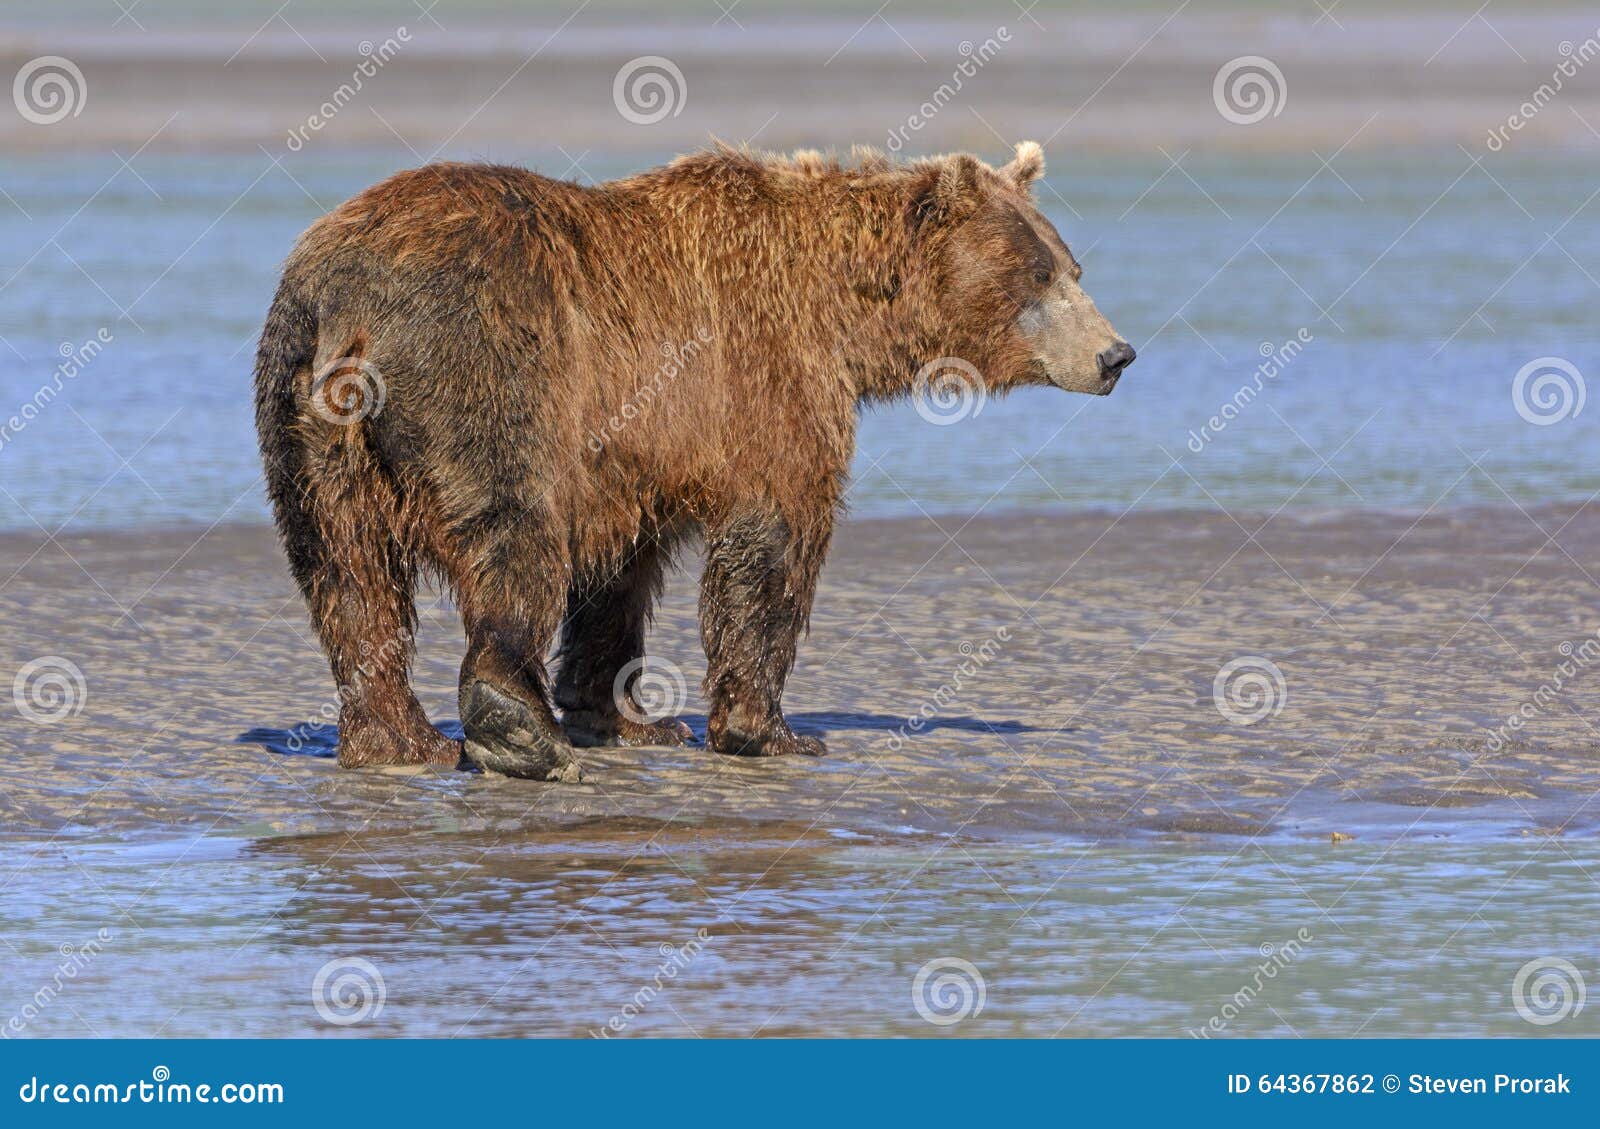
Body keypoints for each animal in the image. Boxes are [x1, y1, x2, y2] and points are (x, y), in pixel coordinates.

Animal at [253, 140, 1134, 782]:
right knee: (512, 533)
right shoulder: (759, 374)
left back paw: (400, 740)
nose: (1115, 354)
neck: (842, 311)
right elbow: (775, 535)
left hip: (305, 426)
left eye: (1073, 266)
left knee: (349, 578)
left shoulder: (636, 445)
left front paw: (629, 715)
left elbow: (618, 573)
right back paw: (517, 731)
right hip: (488, 365)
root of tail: (350, 303)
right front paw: (770, 730)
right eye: (1039, 274)